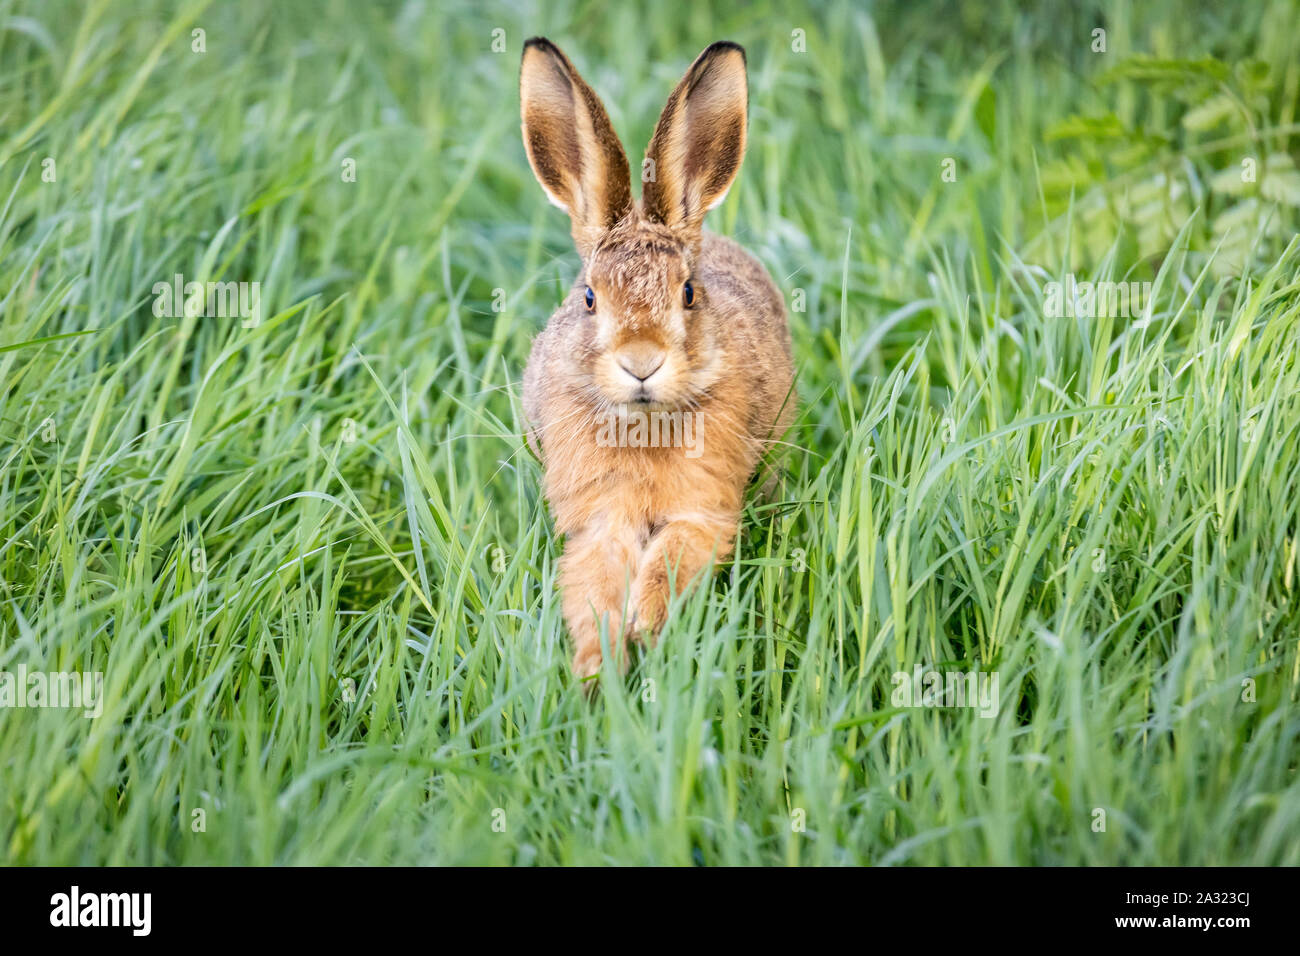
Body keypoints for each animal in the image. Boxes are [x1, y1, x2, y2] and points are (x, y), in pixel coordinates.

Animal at [518, 37, 795, 686]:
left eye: (688, 293)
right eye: (589, 298)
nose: (641, 363)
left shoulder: (703, 510)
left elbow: (673, 557)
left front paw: (644, 630)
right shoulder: (600, 518)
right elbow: (595, 578)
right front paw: (598, 663)